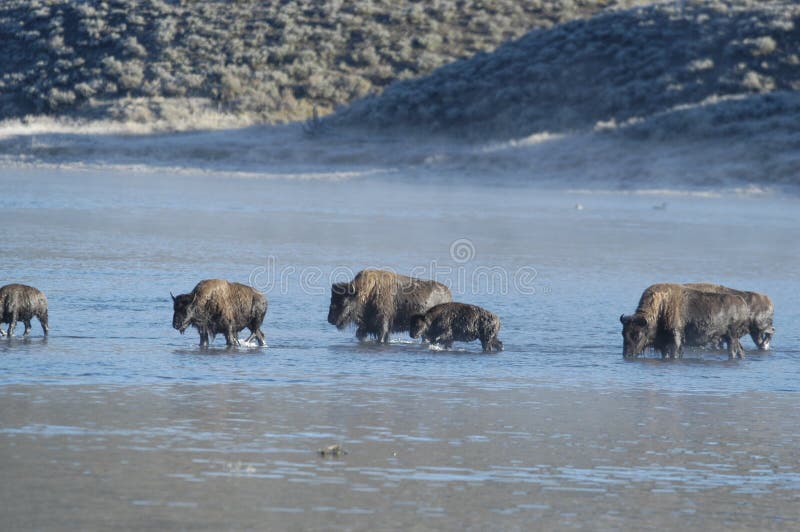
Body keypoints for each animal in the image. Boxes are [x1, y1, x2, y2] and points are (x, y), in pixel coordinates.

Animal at [620, 283, 750, 359]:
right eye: (623, 333)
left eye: (637, 335)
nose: (627, 355)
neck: (661, 308)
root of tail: (742, 303)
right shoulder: (664, 345)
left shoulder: (676, 338)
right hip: (732, 337)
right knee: (740, 350)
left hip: (731, 337)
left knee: (733, 351)